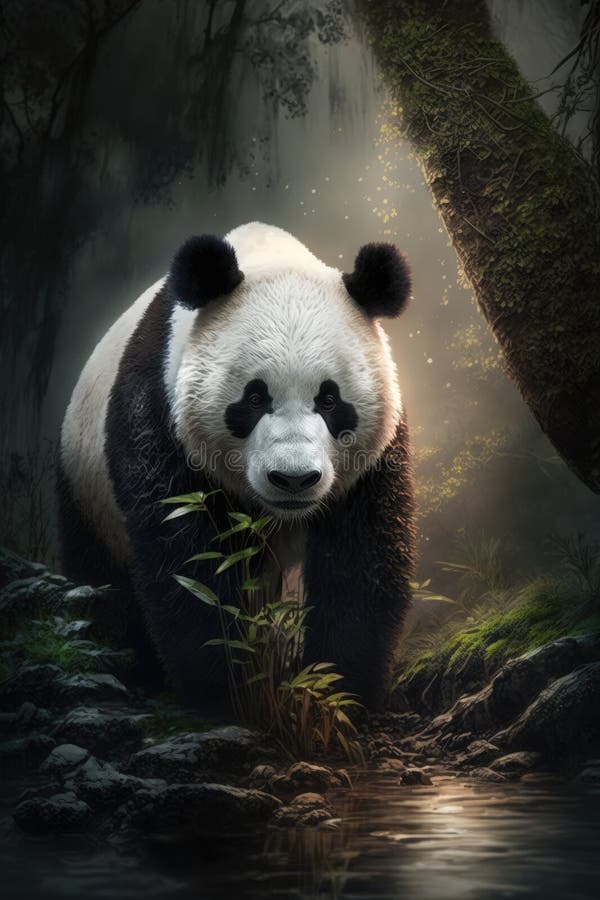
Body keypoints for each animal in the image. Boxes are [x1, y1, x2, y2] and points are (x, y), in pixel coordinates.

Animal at [59, 222, 416, 711]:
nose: (293, 479)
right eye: (254, 398)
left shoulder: (374, 456)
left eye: (330, 400)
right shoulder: (161, 413)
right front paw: (225, 691)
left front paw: (339, 692)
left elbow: (362, 562)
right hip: (85, 486)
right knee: (101, 583)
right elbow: (187, 562)